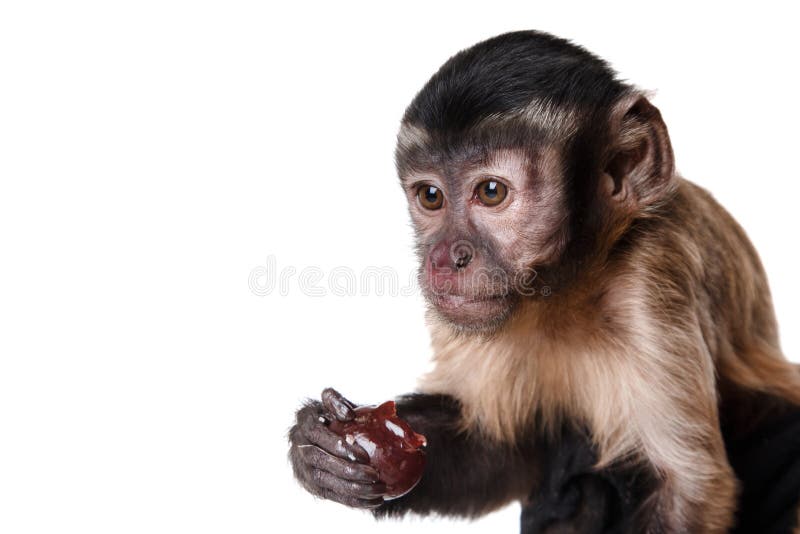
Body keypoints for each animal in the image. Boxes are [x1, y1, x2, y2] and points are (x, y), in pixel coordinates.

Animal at [287, 31, 800, 533]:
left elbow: (688, 488)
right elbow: (499, 450)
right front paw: (319, 446)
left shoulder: (651, 274)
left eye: (491, 192)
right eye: (430, 196)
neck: (572, 288)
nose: (444, 257)